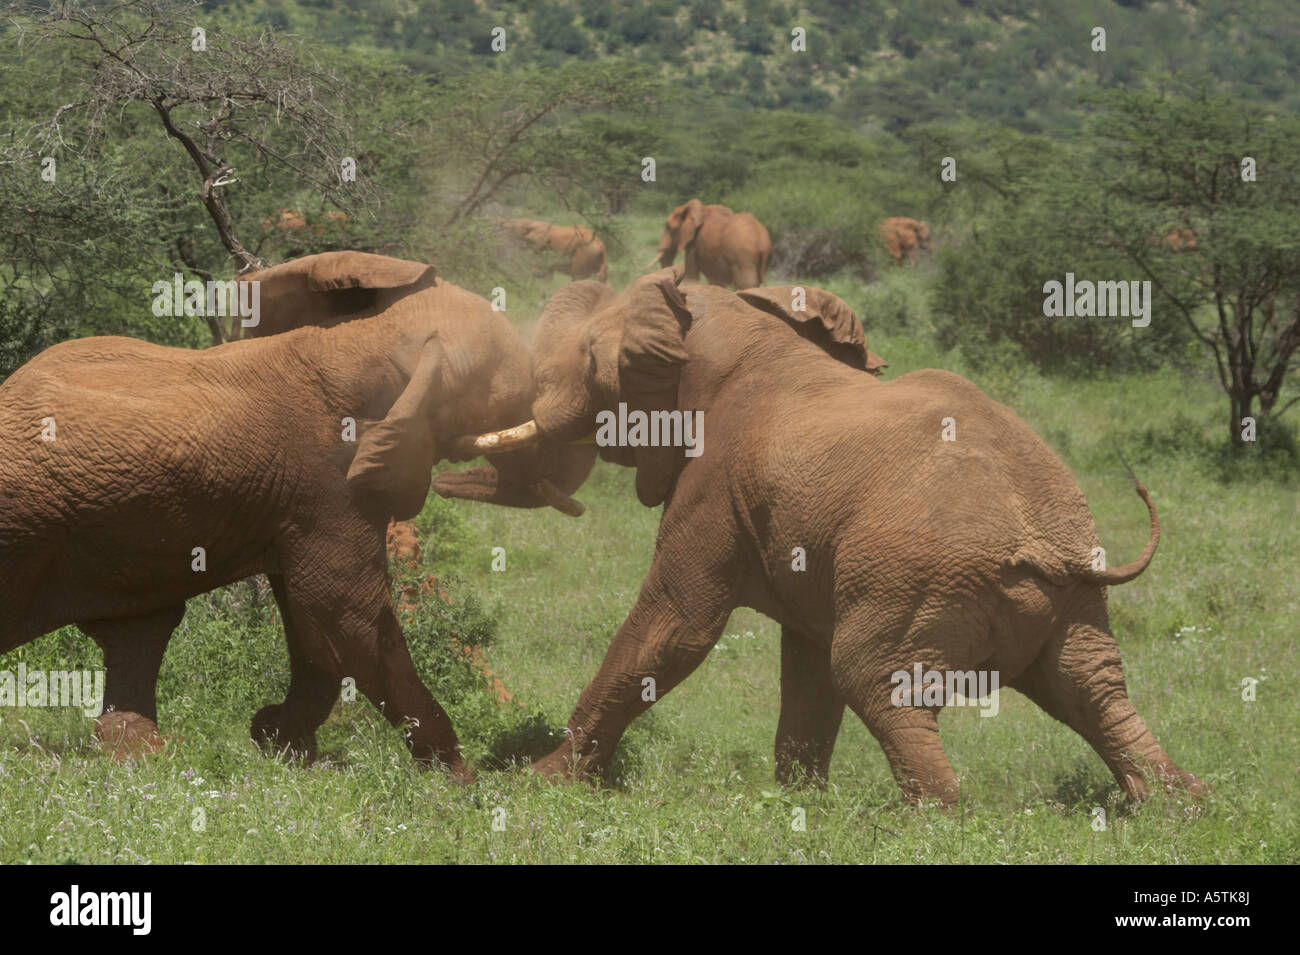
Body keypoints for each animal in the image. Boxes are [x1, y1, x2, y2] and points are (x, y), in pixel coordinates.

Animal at [0, 251, 594, 775]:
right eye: (512, 386)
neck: (364, 341)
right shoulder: (328, 480)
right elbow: (343, 613)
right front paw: (458, 782)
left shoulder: (297, 499)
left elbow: (313, 624)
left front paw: (277, 743)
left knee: (140, 630)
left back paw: (142, 754)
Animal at [441, 269, 1205, 807]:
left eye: (588, 356)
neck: (723, 329)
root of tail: (1045, 538)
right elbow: (803, 663)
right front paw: (798, 802)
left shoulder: (713, 483)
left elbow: (676, 627)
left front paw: (538, 781)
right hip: (1071, 600)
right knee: (1091, 690)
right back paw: (1177, 805)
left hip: (919, 580)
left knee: (870, 672)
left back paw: (929, 815)